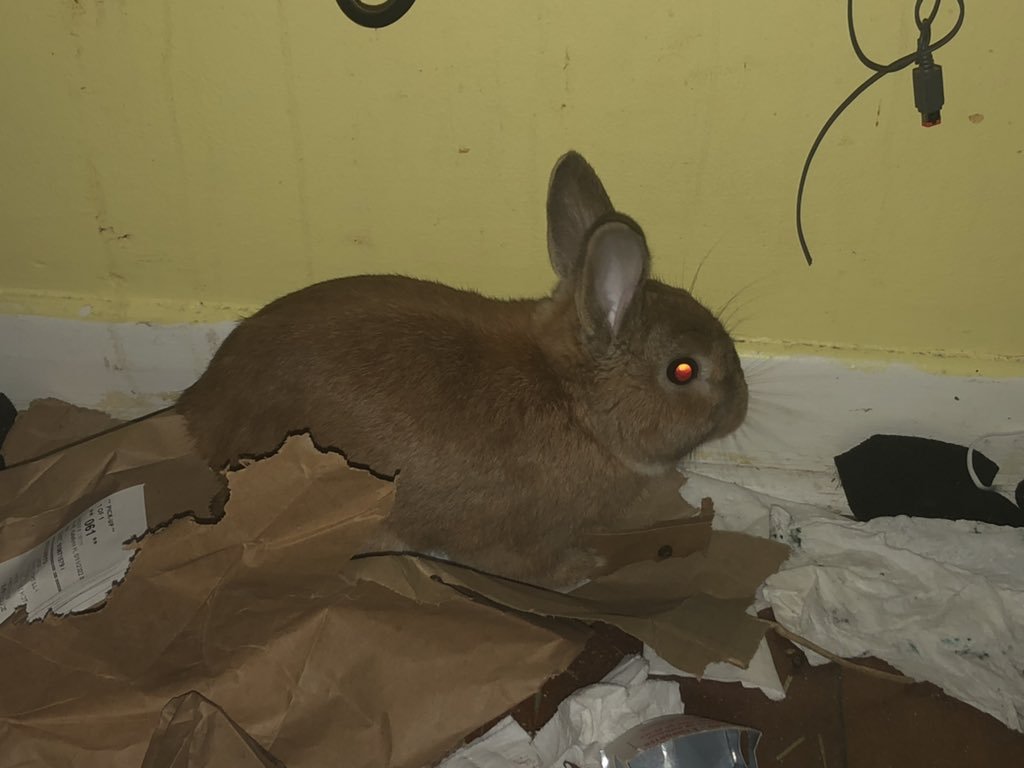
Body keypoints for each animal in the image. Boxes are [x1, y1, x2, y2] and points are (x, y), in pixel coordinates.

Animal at [174, 150, 748, 589]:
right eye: (682, 371)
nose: (741, 409)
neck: (576, 404)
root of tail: (196, 418)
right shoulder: (514, 534)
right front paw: (581, 570)